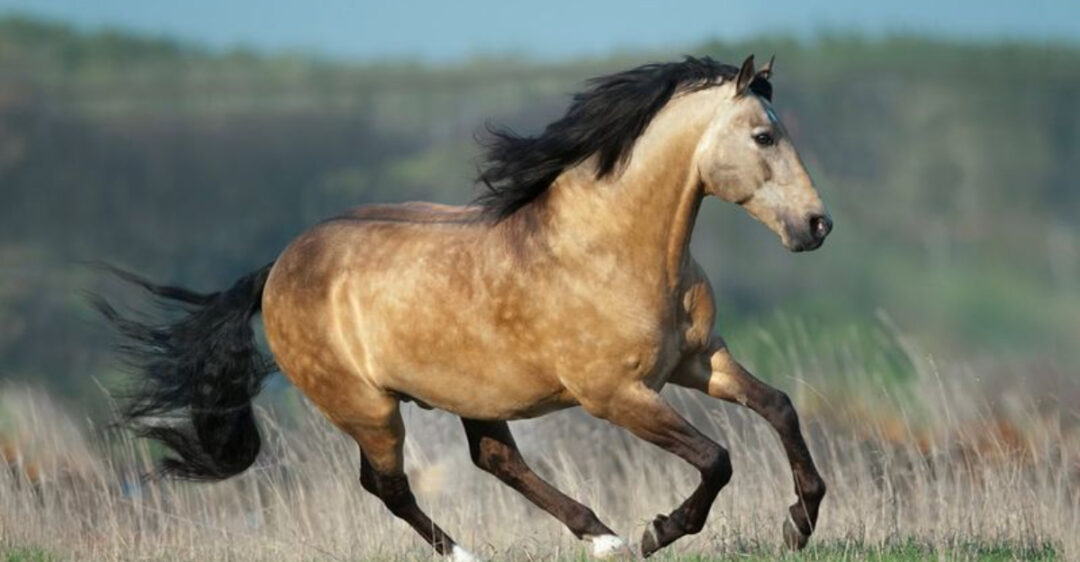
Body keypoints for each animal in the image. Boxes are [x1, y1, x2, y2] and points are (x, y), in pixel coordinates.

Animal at [96, 55, 831, 560]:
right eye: (764, 137)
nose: (817, 226)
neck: (611, 247)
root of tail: (277, 268)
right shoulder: (615, 394)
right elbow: (716, 458)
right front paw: (661, 531)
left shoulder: (699, 360)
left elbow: (779, 408)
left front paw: (799, 524)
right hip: (369, 408)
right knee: (388, 486)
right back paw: (481, 552)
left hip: (475, 394)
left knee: (494, 461)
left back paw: (601, 537)